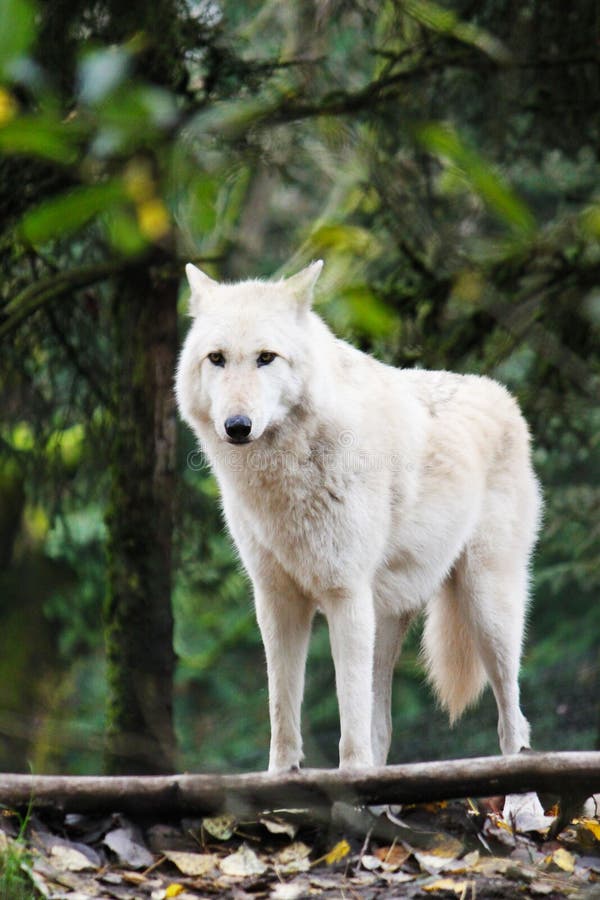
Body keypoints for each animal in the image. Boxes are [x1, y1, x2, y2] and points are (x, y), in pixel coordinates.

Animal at [175, 260, 542, 771]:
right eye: (217, 358)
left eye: (266, 358)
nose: (237, 426)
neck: (286, 477)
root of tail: (502, 394)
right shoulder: (276, 601)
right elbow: (282, 709)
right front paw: (282, 775)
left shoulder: (343, 593)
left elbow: (347, 712)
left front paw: (349, 776)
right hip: (386, 619)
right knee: (383, 728)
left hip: (486, 607)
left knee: (514, 724)